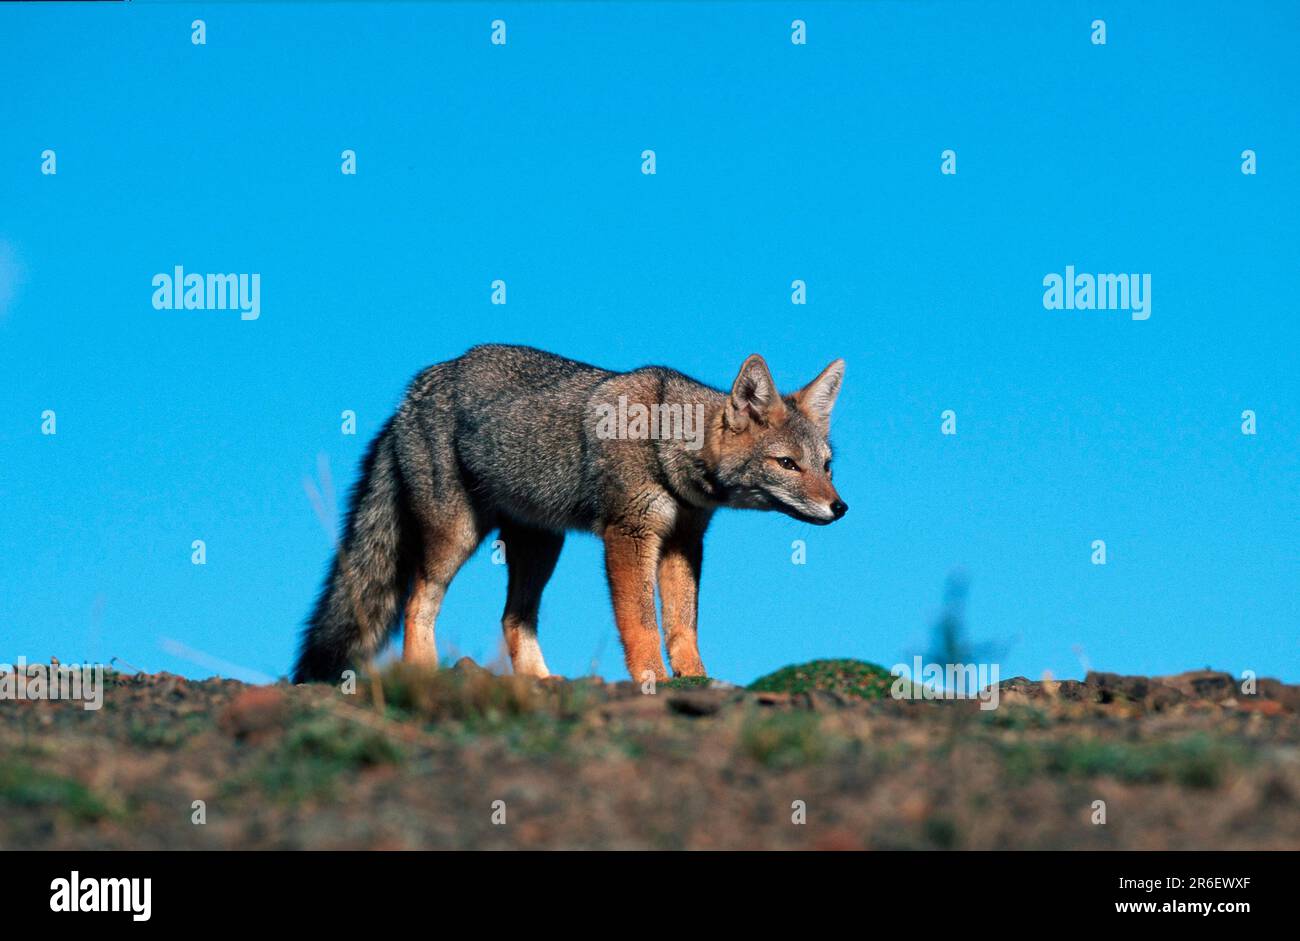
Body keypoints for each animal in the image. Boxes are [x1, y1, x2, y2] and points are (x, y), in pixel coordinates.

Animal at [293, 344, 847, 684]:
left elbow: (683, 625)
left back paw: (541, 680)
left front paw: (696, 678)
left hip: (543, 546)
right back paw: (426, 674)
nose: (840, 507)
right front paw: (652, 679)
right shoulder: (628, 534)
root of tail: (413, 391)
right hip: (456, 537)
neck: (665, 441)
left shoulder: (684, 542)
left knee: (513, 618)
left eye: (826, 465)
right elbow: (642, 622)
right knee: (417, 603)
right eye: (787, 464)